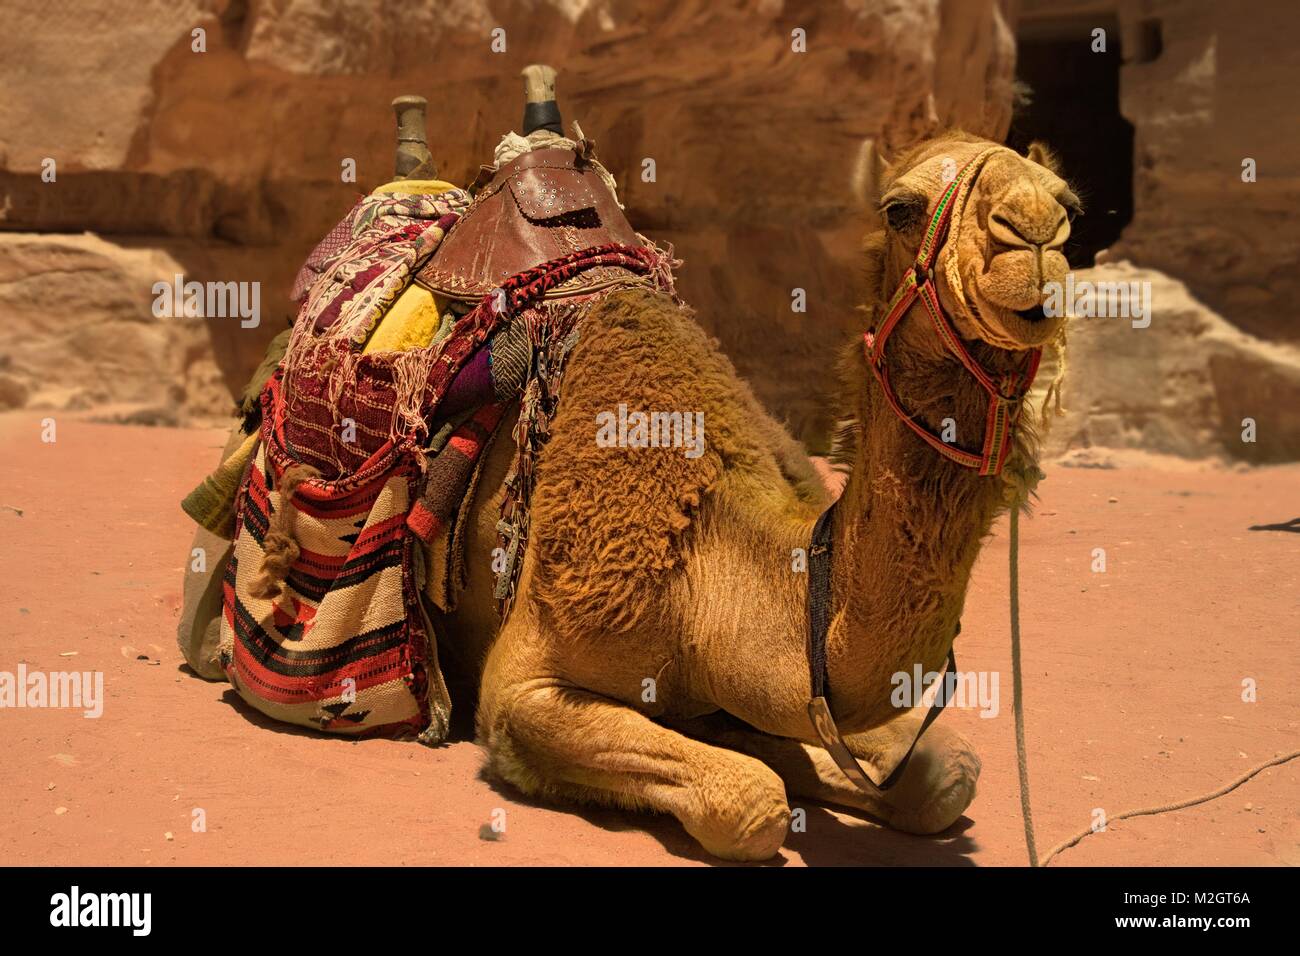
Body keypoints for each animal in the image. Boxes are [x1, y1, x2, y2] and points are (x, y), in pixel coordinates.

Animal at [423, 129, 1078, 860]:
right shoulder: (522, 684)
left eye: (1068, 204)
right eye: (900, 209)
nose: (1036, 232)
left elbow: (949, 771)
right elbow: (753, 799)